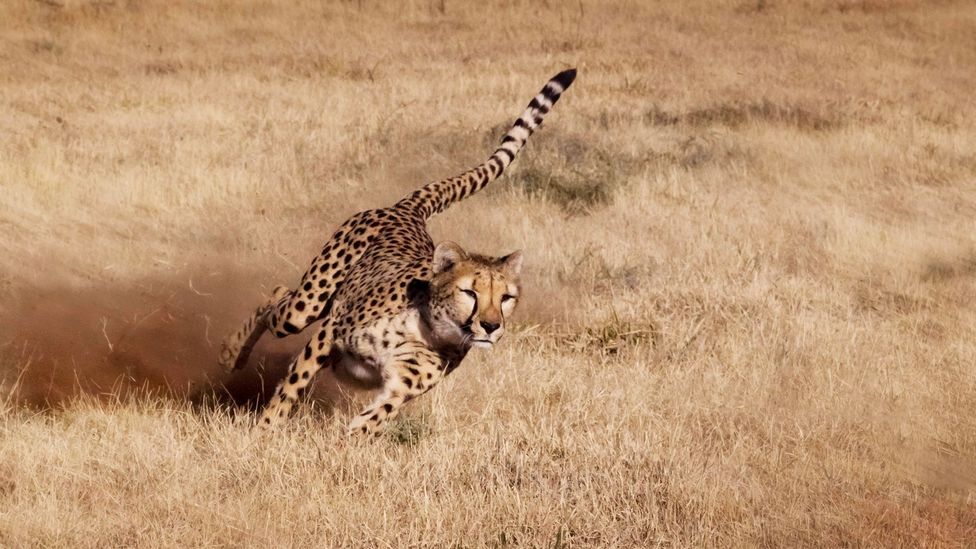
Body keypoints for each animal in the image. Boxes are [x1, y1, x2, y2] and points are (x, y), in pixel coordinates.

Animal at [219, 68, 580, 434]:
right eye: (470, 292)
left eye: (506, 298)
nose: (491, 326)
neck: (428, 330)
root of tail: (409, 210)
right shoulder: (330, 332)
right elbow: (293, 384)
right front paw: (264, 430)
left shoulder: (401, 386)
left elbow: (374, 418)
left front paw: (347, 440)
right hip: (308, 305)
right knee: (277, 298)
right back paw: (230, 354)